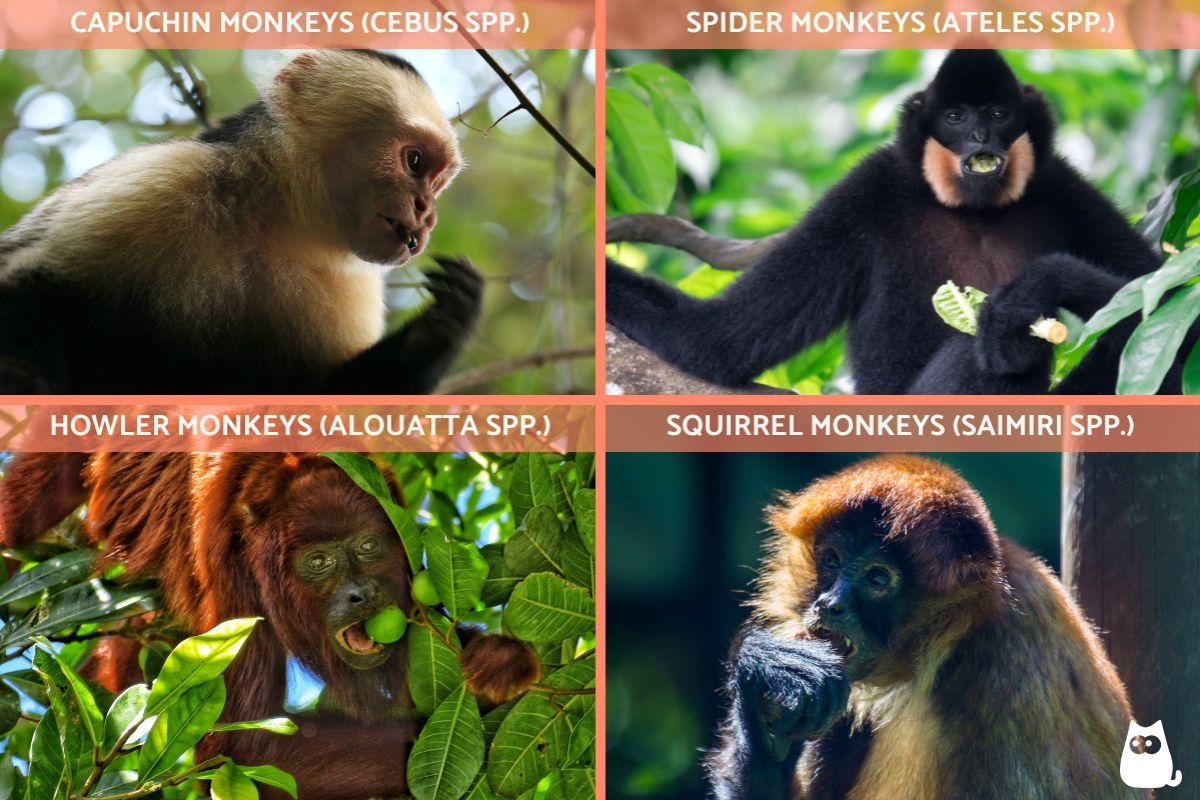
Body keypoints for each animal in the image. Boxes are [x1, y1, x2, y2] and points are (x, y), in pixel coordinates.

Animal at [0, 50, 483, 393]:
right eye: (414, 161)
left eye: (437, 183)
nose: (427, 212)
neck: (270, 218)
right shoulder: (166, 177)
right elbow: (27, 279)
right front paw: (27, 383)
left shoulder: (350, 282)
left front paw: (438, 330)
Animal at [607, 49, 1187, 394]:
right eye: (955, 117)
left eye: (998, 115)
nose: (979, 137)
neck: (972, 212)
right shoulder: (866, 191)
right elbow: (721, 338)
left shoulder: (1063, 187)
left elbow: (1165, 301)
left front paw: (1039, 285)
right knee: (982, 347)